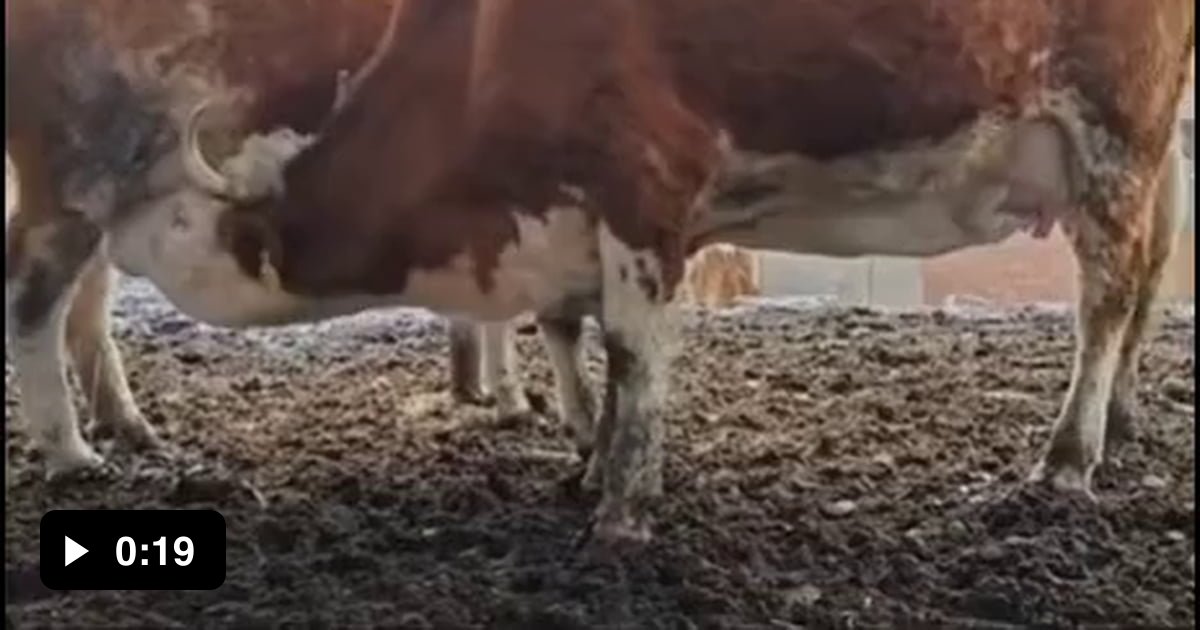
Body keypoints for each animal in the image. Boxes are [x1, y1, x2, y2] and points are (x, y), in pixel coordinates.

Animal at [7, 0, 1193, 547]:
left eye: (194, 209)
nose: (139, 222)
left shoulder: (644, 190)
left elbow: (632, 353)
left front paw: (619, 505)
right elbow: (589, 344)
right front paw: (590, 465)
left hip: (1115, 140)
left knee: (1111, 295)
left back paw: (1068, 459)